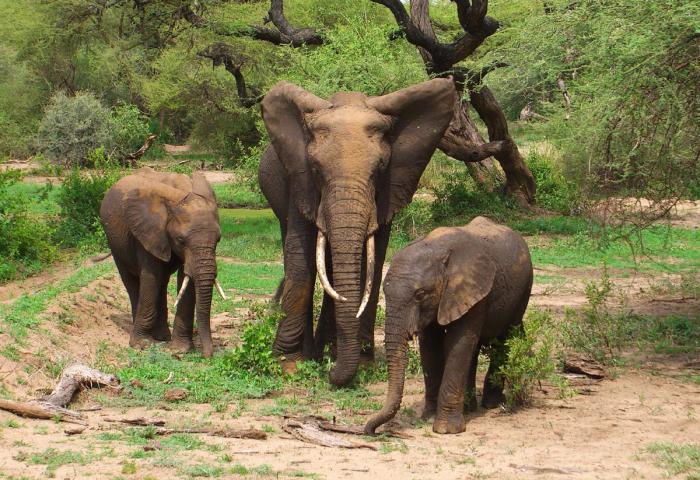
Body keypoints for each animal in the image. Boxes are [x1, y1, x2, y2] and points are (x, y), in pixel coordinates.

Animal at [98, 167, 223, 358]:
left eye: (218, 239)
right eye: (181, 240)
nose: (208, 355)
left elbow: (185, 280)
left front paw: (179, 350)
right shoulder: (148, 233)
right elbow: (151, 278)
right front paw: (141, 345)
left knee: (162, 283)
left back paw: (162, 336)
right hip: (115, 242)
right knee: (133, 281)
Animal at [260, 79, 456, 386]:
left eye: (380, 169)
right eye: (316, 169)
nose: (331, 373)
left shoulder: (388, 191)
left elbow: (371, 261)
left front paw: (361, 365)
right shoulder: (300, 182)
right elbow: (300, 260)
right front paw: (287, 365)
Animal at [364, 218, 532, 436]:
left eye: (420, 295)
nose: (373, 431)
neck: (437, 249)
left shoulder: (472, 290)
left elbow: (458, 343)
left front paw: (446, 430)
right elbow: (430, 345)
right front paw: (428, 418)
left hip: (523, 289)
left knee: (503, 338)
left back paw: (492, 405)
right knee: (475, 348)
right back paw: (469, 408)